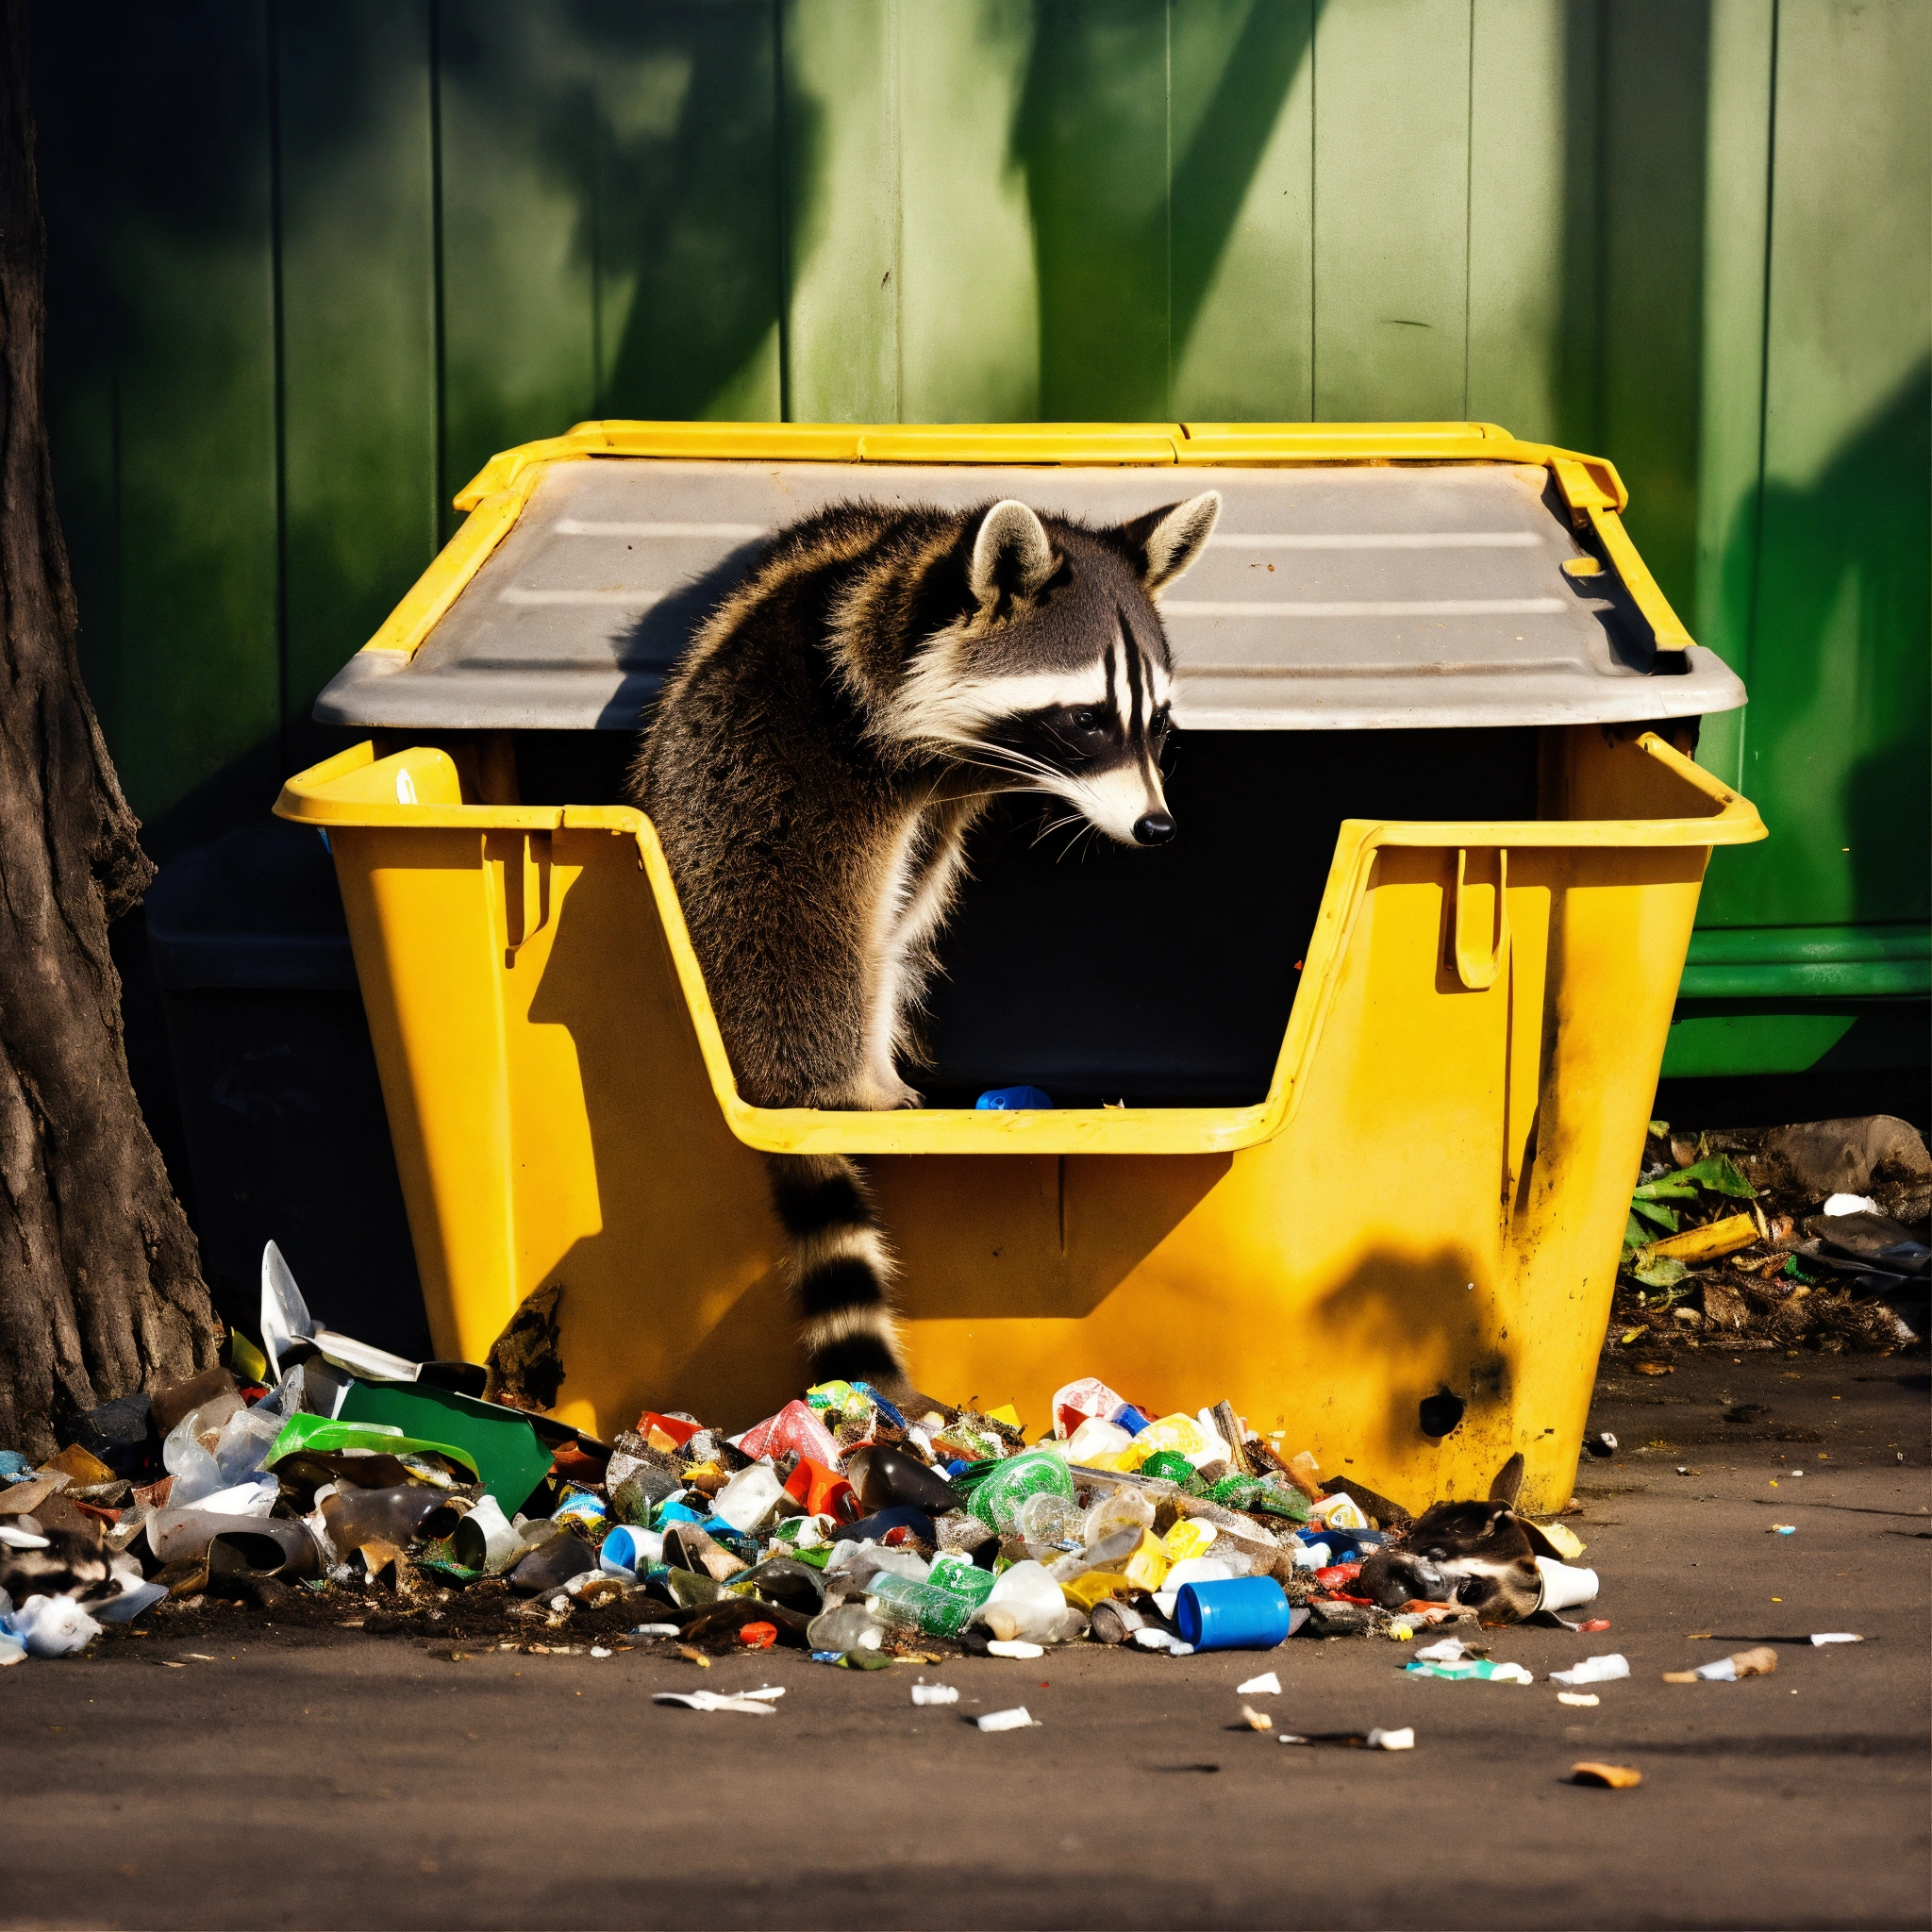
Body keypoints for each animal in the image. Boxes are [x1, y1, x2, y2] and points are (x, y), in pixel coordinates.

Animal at [633, 490, 1221, 1396]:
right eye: (1087, 721)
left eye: (1157, 726)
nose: (1156, 827)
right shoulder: (837, 716)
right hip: (745, 828)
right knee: (811, 935)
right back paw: (849, 1086)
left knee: (897, 928)